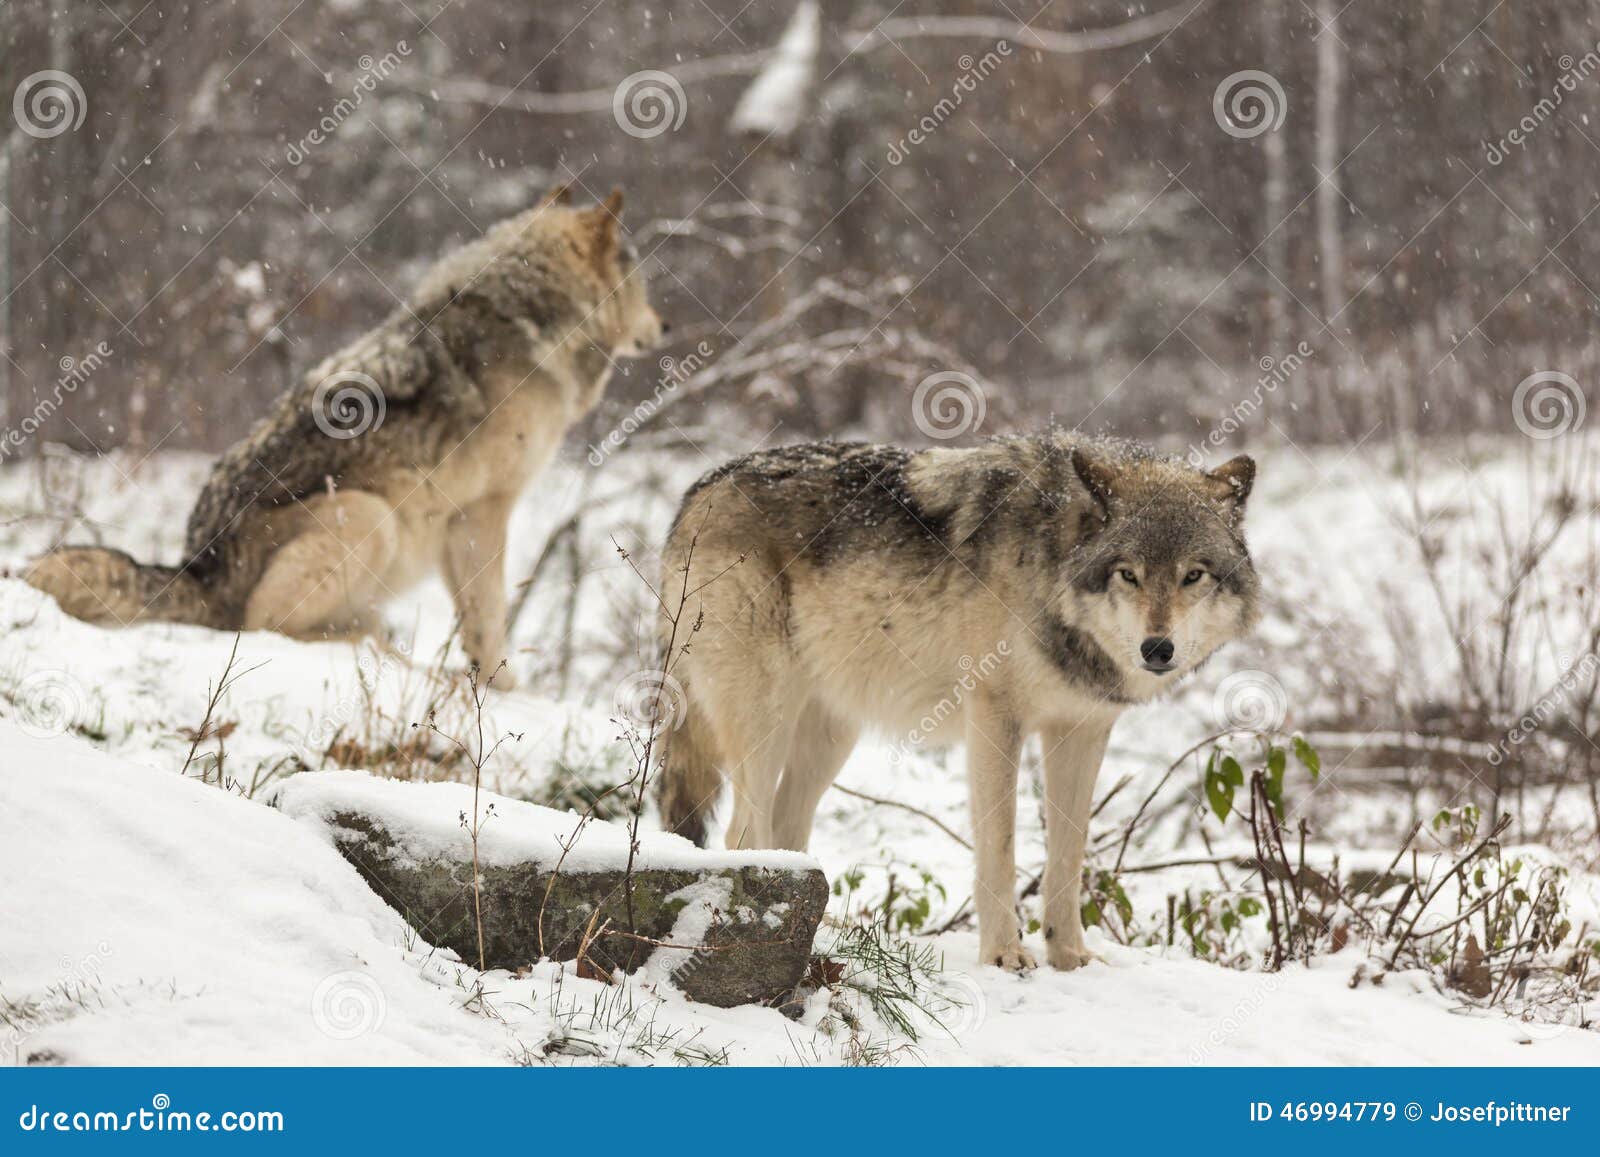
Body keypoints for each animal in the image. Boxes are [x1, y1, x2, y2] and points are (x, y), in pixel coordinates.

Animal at [26, 186, 664, 683]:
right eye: (639, 279)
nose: (665, 326)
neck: (533, 312)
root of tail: (197, 567)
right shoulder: (484, 512)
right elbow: (490, 626)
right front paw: (504, 695)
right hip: (370, 517)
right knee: (264, 628)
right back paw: (381, 651)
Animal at [656, 432, 1259, 971]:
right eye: (1128, 574)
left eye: (1193, 575)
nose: (1158, 649)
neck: (1050, 562)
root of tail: (698, 488)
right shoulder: (994, 716)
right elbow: (1001, 849)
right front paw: (1005, 955)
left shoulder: (1081, 729)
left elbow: (1068, 855)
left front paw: (1071, 956)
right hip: (766, 718)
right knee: (741, 832)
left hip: (831, 736)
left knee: (784, 828)